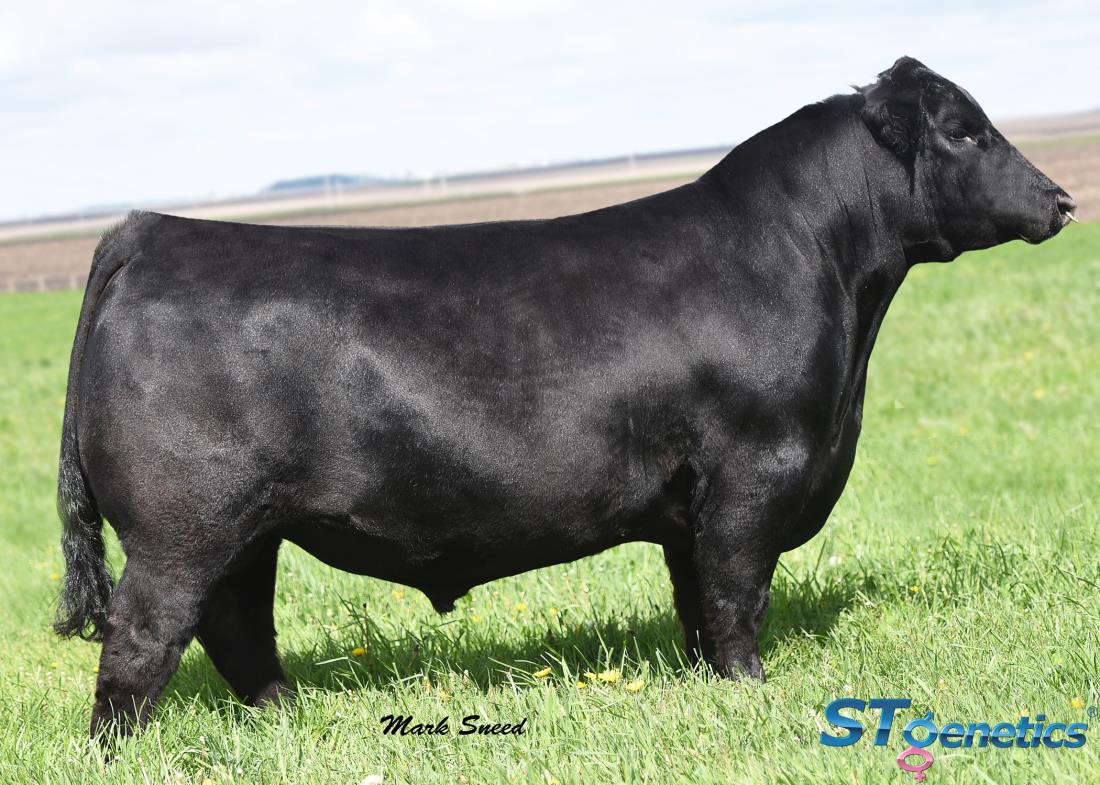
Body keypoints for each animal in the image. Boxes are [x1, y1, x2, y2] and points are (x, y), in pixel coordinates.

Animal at [55, 56, 1076, 739]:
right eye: (965, 129)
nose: (1065, 200)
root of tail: (155, 230)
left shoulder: (691, 507)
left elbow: (698, 603)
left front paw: (712, 685)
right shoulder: (751, 477)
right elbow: (737, 597)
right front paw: (752, 690)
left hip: (244, 526)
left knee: (237, 625)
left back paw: (290, 718)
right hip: (183, 524)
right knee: (142, 642)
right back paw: (130, 750)